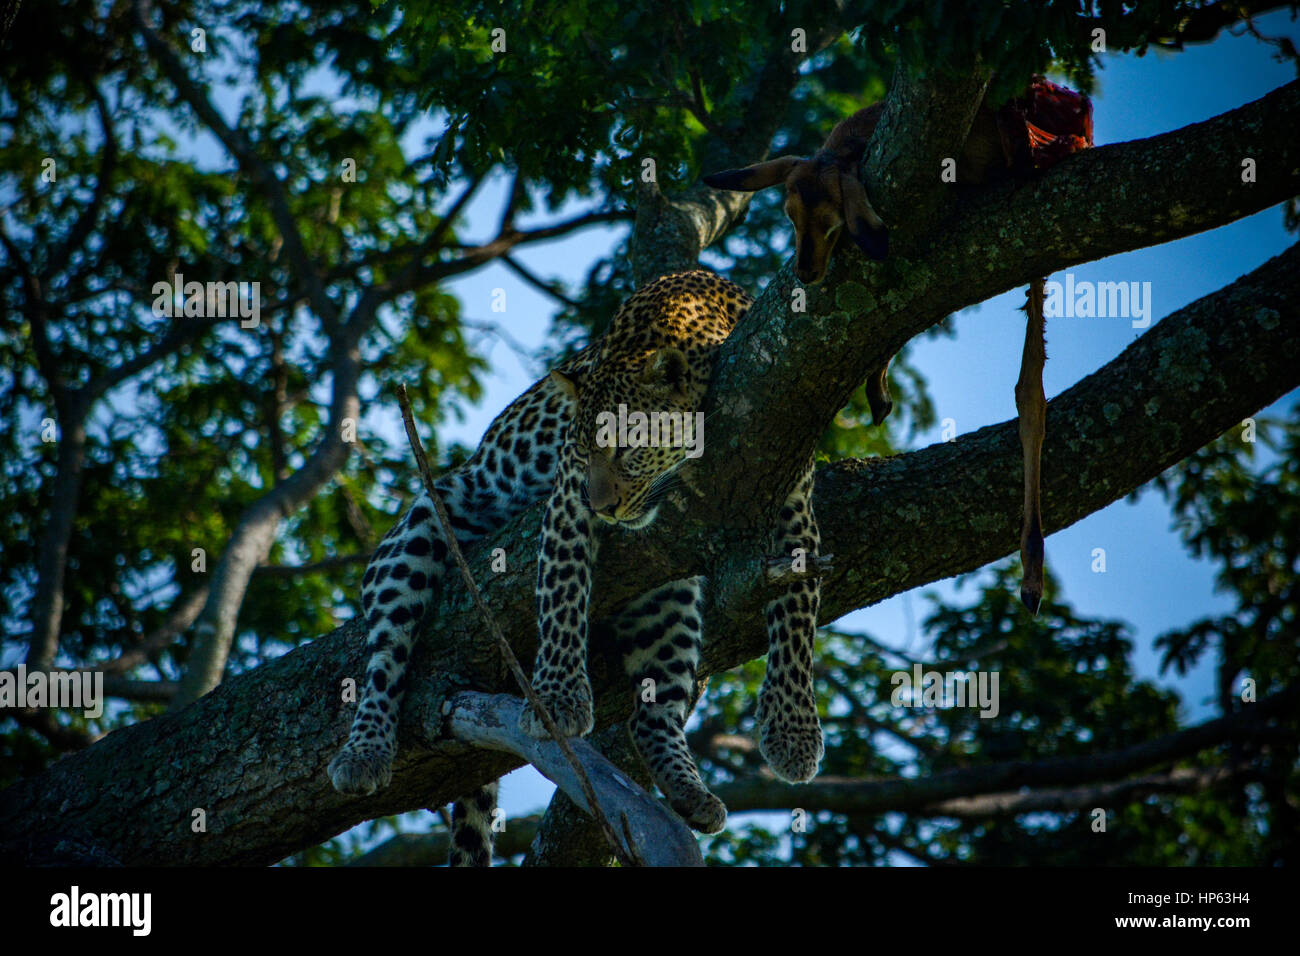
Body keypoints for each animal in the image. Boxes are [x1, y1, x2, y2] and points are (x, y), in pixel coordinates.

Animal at [328, 268, 825, 865]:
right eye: (585, 452)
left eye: (628, 449)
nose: (601, 505)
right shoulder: (565, 494)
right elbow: (562, 591)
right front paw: (559, 699)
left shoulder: (793, 490)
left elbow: (797, 610)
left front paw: (793, 732)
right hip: (418, 534)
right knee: (383, 661)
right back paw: (363, 751)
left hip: (668, 594)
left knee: (649, 715)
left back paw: (688, 792)